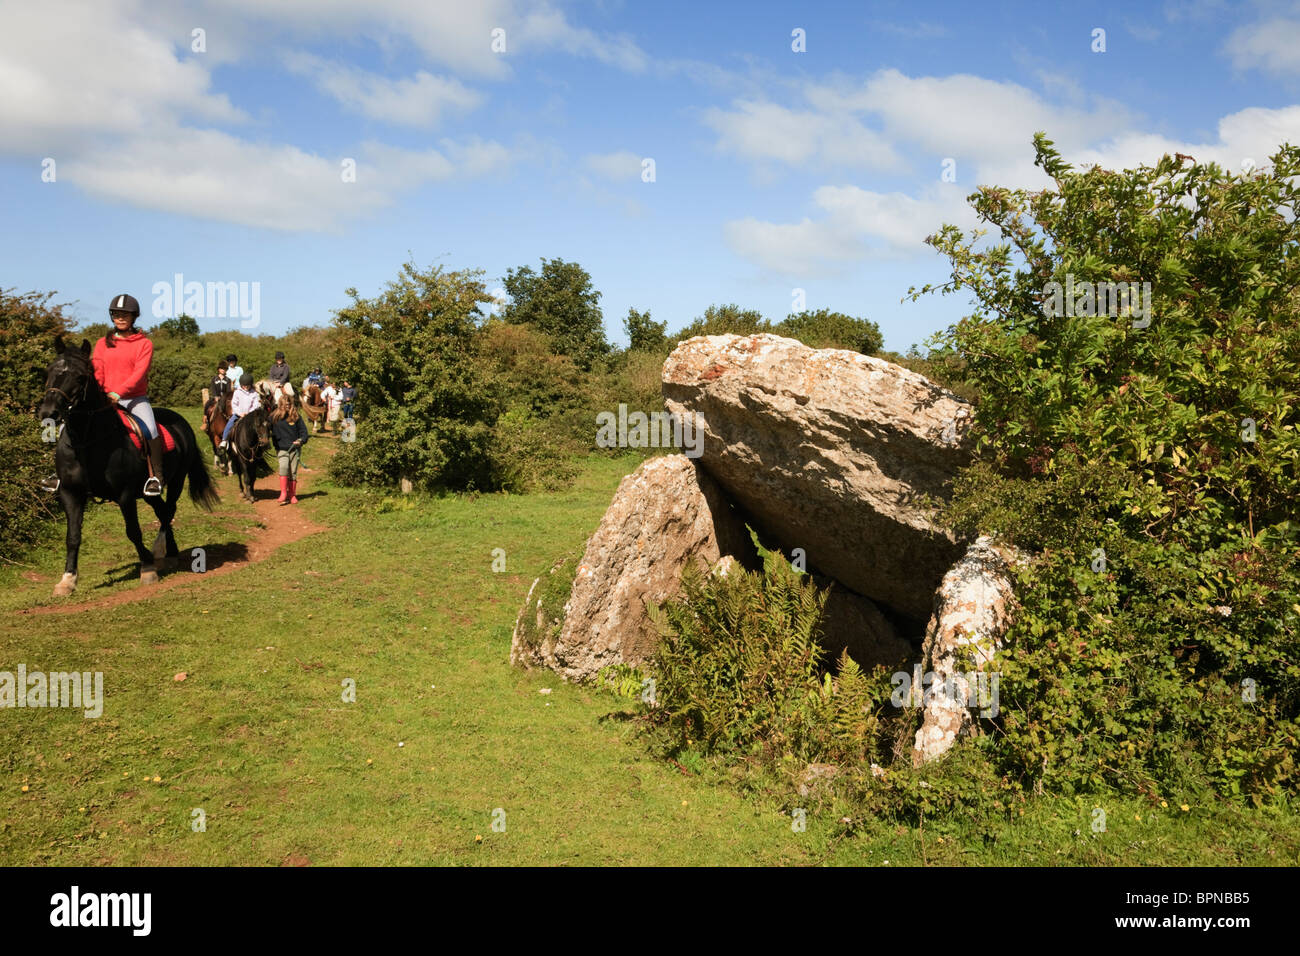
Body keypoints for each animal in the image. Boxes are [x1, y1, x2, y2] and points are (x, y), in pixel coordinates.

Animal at [36, 337, 220, 597]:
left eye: (80, 377)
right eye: (49, 371)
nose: (48, 413)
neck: (87, 442)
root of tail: (180, 422)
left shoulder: (124, 495)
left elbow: (132, 531)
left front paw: (148, 568)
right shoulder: (70, 493)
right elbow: (72, 536)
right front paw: (67, 580)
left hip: (176, 481)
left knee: (169, 510)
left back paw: (165, 552)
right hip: (147, 492)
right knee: (162, 510)